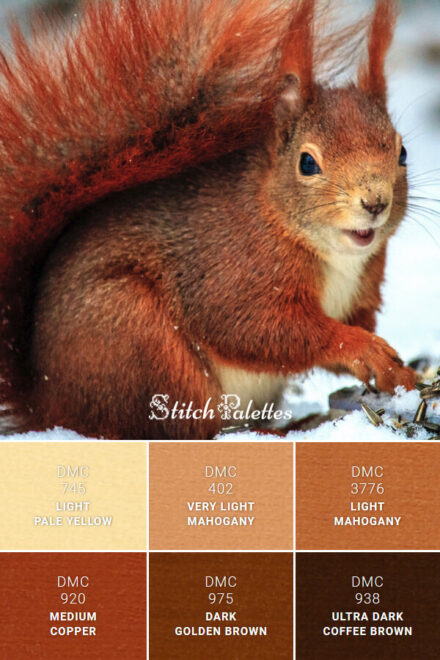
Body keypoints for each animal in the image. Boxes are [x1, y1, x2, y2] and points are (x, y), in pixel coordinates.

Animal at [0, 0, 416, 439]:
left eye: (403, 153)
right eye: (307, 163)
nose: (375, 202)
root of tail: (47, 404)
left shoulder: (363, 287)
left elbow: (355, 324)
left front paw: (399, 373)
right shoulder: (232, 271)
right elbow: (257, 329)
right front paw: (362, 347)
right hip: (140, 342)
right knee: (184, 429)